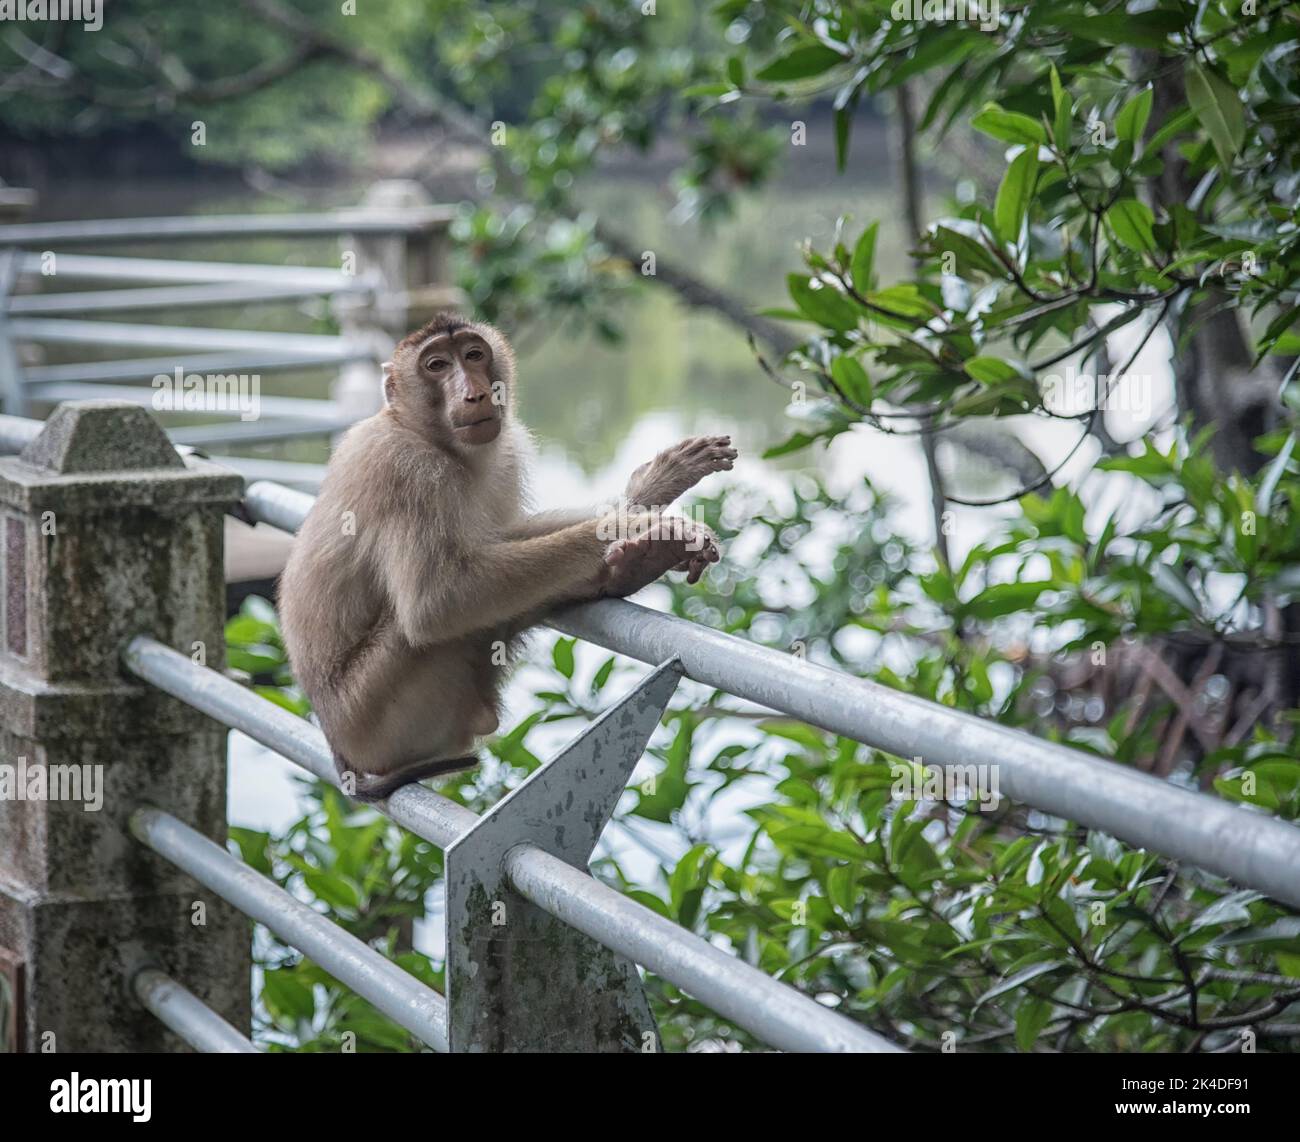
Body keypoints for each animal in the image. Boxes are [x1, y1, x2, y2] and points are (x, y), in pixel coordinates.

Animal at [277, 313, 737, 802]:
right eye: (436, 365)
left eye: (474, 355)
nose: (475, 393)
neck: (429, 437)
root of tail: (340, 749)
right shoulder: (403, 469)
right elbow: (435, 600)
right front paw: (640, 527)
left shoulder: (505, 454)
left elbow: (501, 538)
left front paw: (652, 489)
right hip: (377, 715)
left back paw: (629, 569)